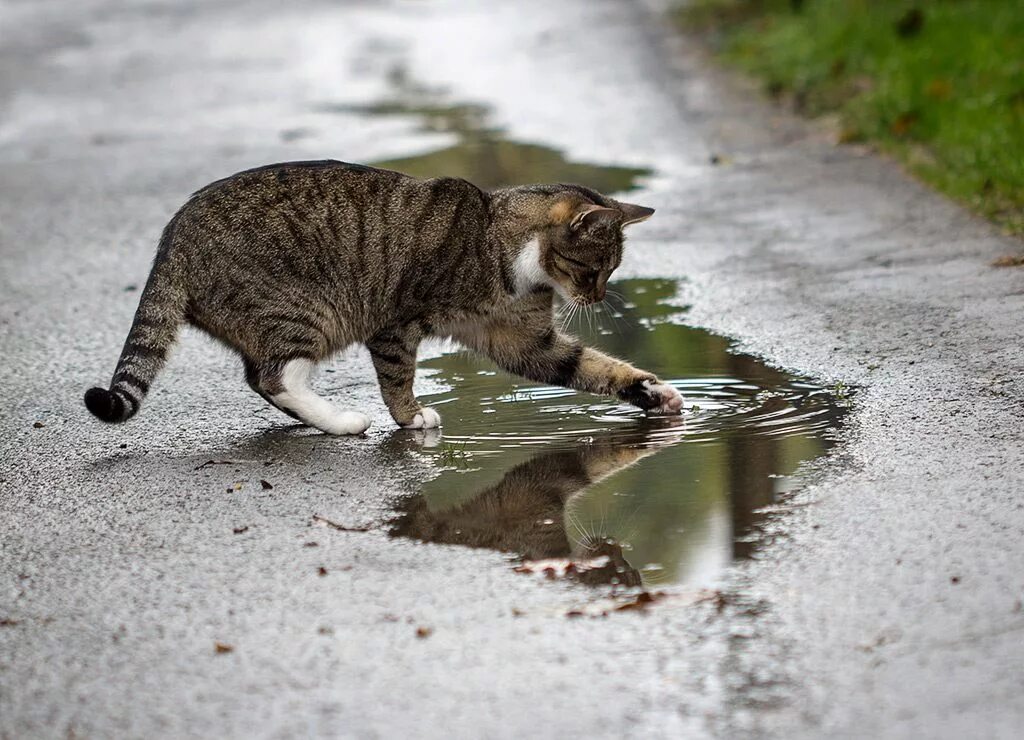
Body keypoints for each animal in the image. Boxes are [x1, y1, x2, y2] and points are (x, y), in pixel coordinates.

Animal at [86, 159, 679, 431]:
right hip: (307, 311)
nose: (599, 298)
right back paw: (346, 421)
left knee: (260, 377)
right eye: (594, 268)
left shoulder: (521, 339)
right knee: (274, 375)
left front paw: (653, 393)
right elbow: (398, 377)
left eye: (611, 270)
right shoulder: (396, 324)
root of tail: (174, 235)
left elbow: (589, 366)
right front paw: (411, 416)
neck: (502, 247)